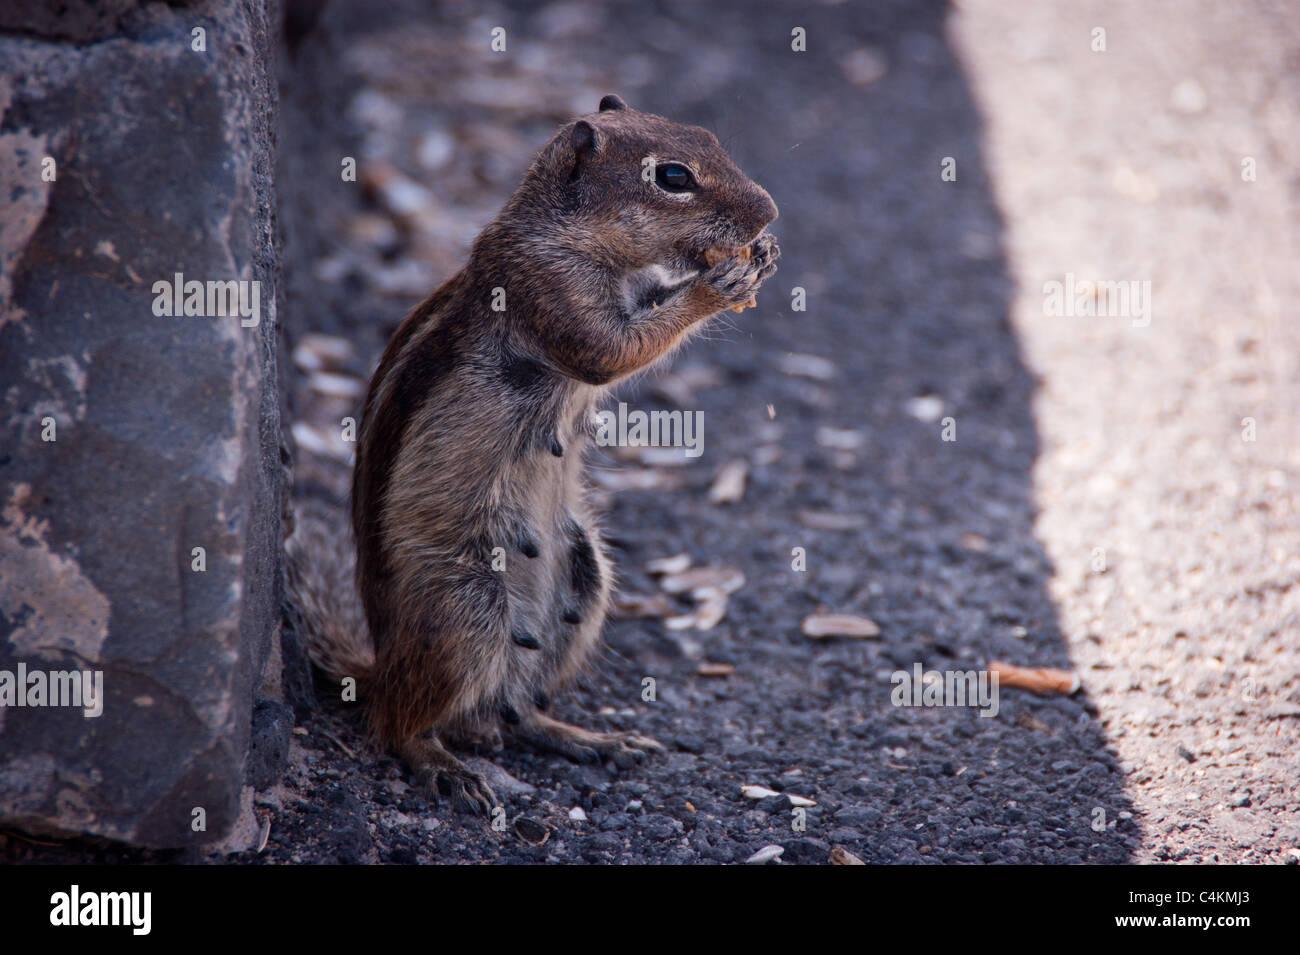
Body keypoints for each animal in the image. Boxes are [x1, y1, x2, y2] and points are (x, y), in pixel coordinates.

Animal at [286, 94, 779, 814]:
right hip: (465, 609)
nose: (768, 213)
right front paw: (720, 282)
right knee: (396, 722)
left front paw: (757, 255)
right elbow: (613, 350)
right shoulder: (551, 292)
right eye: (673, 177)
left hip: (586, 576)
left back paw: (584, 737)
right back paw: (446, 764)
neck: (566, 233)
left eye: (708, 137)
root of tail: (378, 662)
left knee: (512, 709)